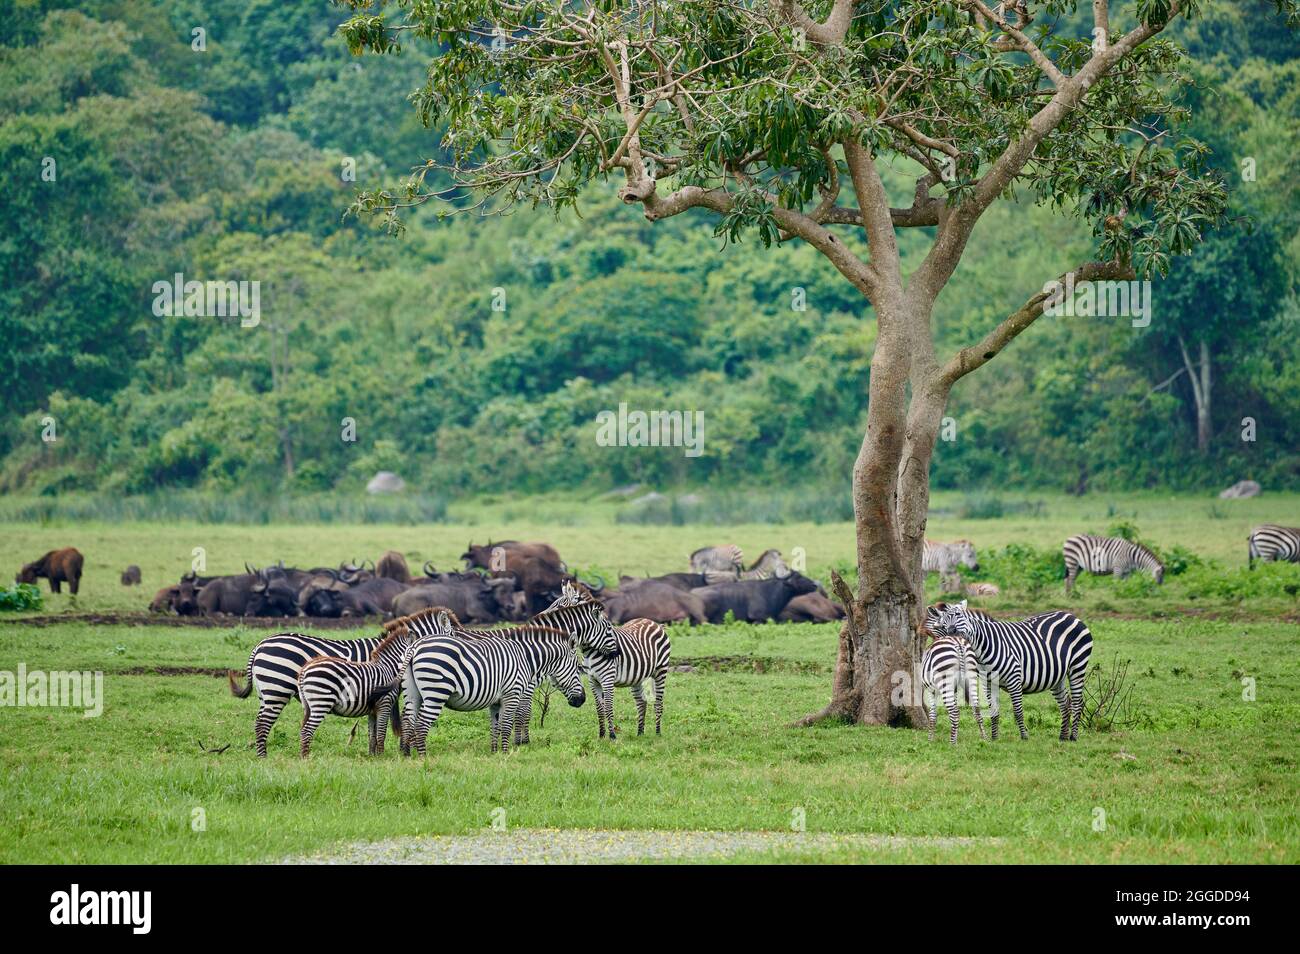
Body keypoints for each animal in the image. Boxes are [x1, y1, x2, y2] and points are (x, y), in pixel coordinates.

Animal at [230, 629, 395, 757]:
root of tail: (259, 645)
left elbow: (374, 727)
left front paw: (373, 755)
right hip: (277, 689)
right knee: (263, 723)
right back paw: (263, 757)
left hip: (264, 694)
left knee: (259, 721)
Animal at [296, 624, 419, 757]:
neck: (389, 668)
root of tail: (305, 669)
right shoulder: (385, 704)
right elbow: (381, 734)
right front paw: (382, 756)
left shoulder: (373, 710)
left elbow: (373, 736)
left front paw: (372, 757)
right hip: (321, 702)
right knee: (307, 730)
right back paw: (306, 758)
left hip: (308, 706)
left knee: (303, 730)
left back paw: (304, 755)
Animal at [401, 624, 585, 755]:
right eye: (577, 668)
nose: (582, 700)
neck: (525, 658)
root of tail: (415, 646)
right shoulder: (512, 694)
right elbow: (507, 725)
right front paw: (505, 753)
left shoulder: (496, 701)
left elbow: (495, 727)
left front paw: (494, 752)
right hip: (436, 693)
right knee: (421, 725)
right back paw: (423, 757)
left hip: (412, 694)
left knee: (408, 720)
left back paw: (407, 755)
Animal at [547, 581, 671, 739]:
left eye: (559, 607)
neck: (590, 650)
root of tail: (653, 622)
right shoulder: (593, 680)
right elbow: (599, 708)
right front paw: (601, 735)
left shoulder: (607, 679)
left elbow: (608, 707)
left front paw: (612, 736)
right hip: (637, 677)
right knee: (641, 702)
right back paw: (640, 733)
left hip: (661, 671)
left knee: (658, 703)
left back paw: (657, 733)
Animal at [936, 600, 1093, 741]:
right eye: (943, 623)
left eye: (958, 615)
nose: (951, 632)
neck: (985, 646)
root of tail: (1070, 615)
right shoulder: (989, 683)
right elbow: (994, 711)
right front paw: (994, 738)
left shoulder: (1014, 679)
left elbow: (1018, 711)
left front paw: (1024, 736)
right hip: (1057, 676)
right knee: (1065, 703)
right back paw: (1063, 736)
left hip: (1078, 666)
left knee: (1077, 701)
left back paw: (1073, 737)